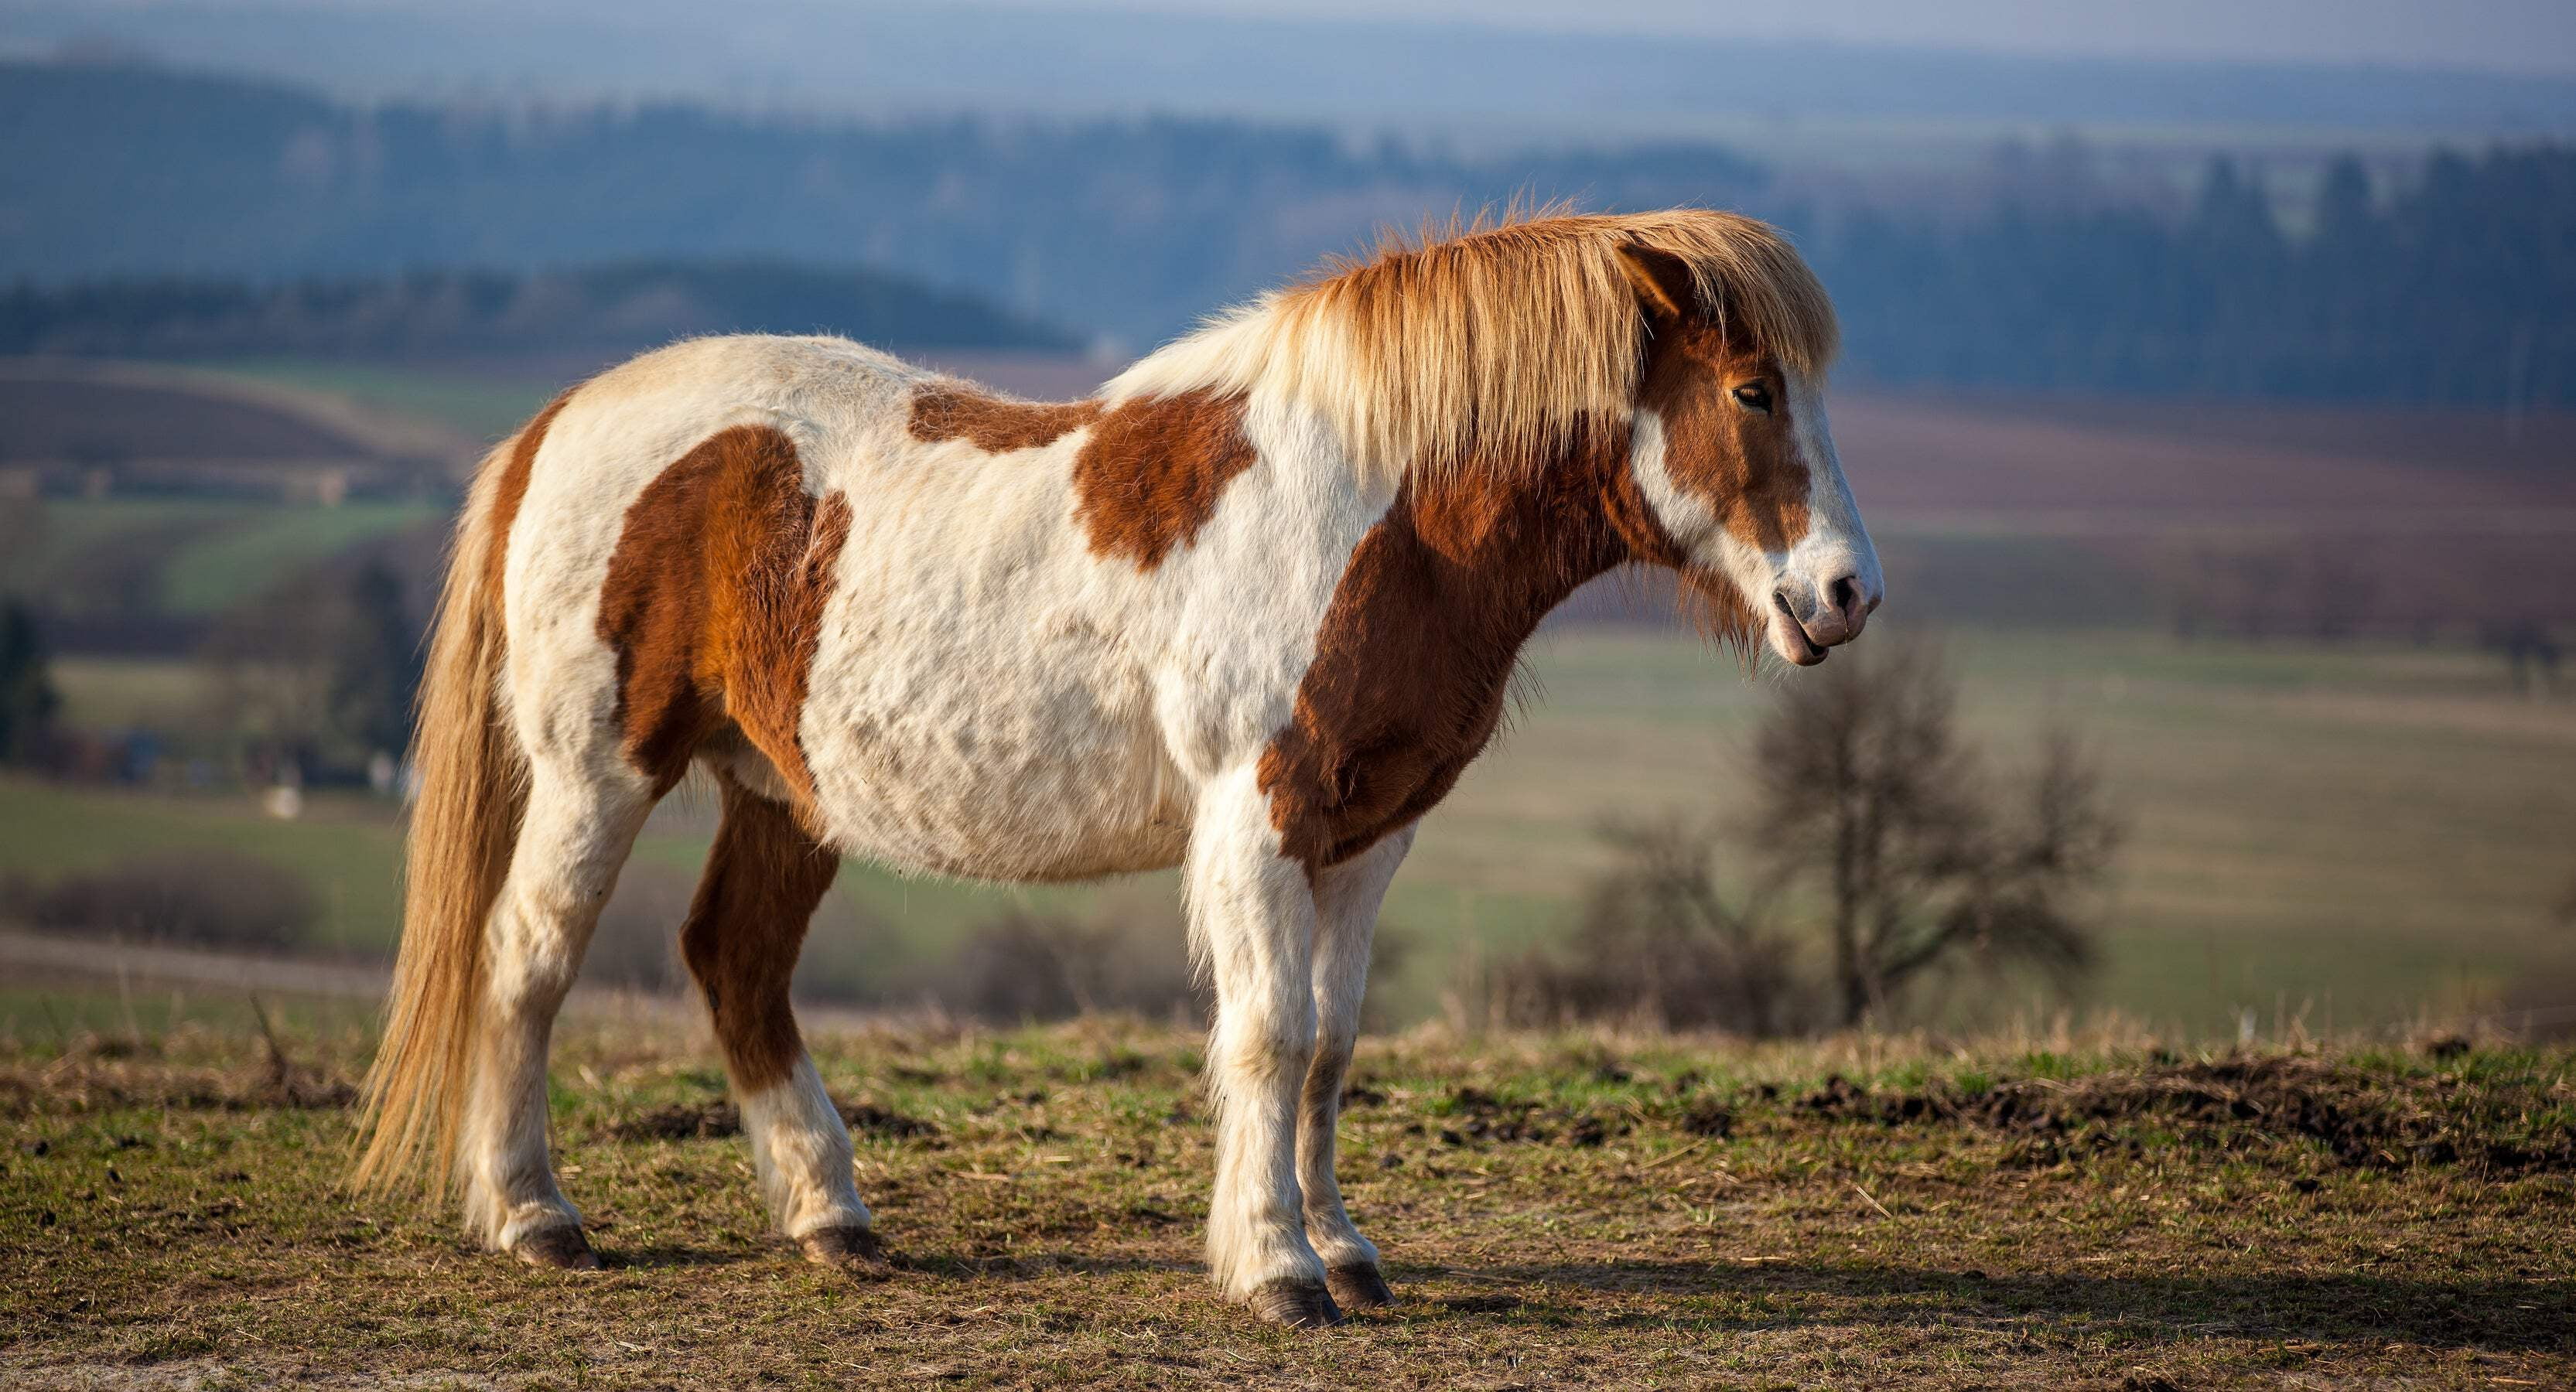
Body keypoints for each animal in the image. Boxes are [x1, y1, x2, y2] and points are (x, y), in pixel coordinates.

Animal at [352, 208, 1882, 1328]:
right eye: (1752, 389)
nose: (1845, 595)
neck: (1367, 511)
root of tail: (560, 420)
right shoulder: (1263, 817)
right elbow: (1268, 1038)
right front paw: (1276, 1270)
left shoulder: (1370, 836)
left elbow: (1333, 1046)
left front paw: (1347, 1253)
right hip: (599, 774)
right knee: (525, 959)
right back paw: (535, 1217)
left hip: (782, 791)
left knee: (737, 964)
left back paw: (831, 1217)